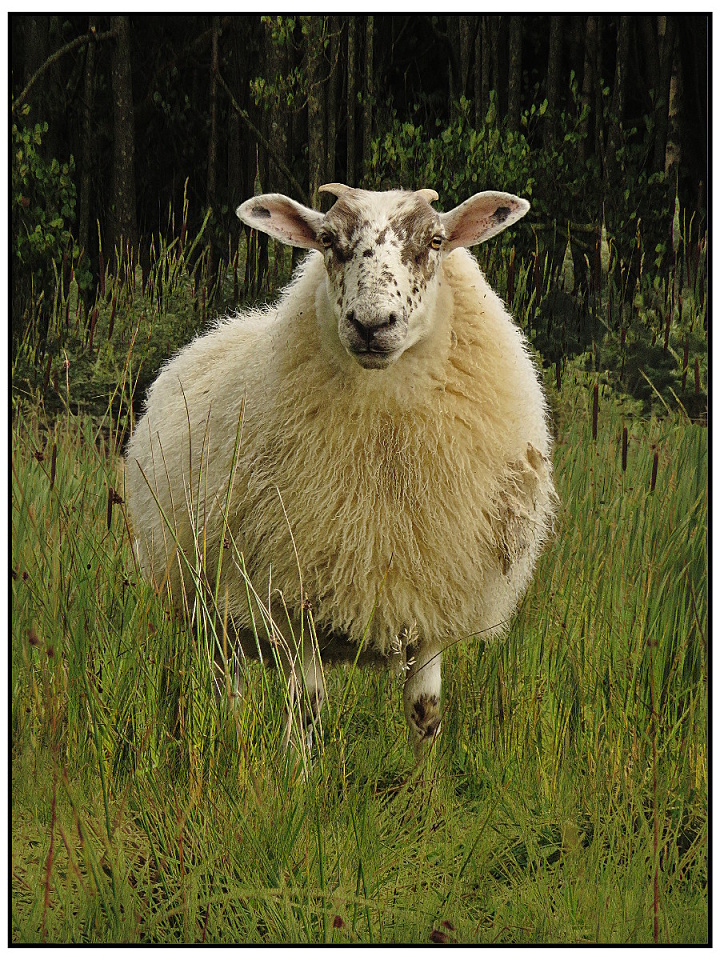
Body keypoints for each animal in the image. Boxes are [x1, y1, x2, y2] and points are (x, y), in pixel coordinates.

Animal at [124, 183, 556, 763]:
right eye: (328, 240)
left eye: (435, 240)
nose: (372, 326)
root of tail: (220, 328)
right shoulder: (292, 589)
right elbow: (306, 705)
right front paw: (297, 778)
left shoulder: (434, 593)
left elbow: (425, 711)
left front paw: (424, 784)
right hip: (210, 604)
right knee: (227, 686)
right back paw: (231, 742)